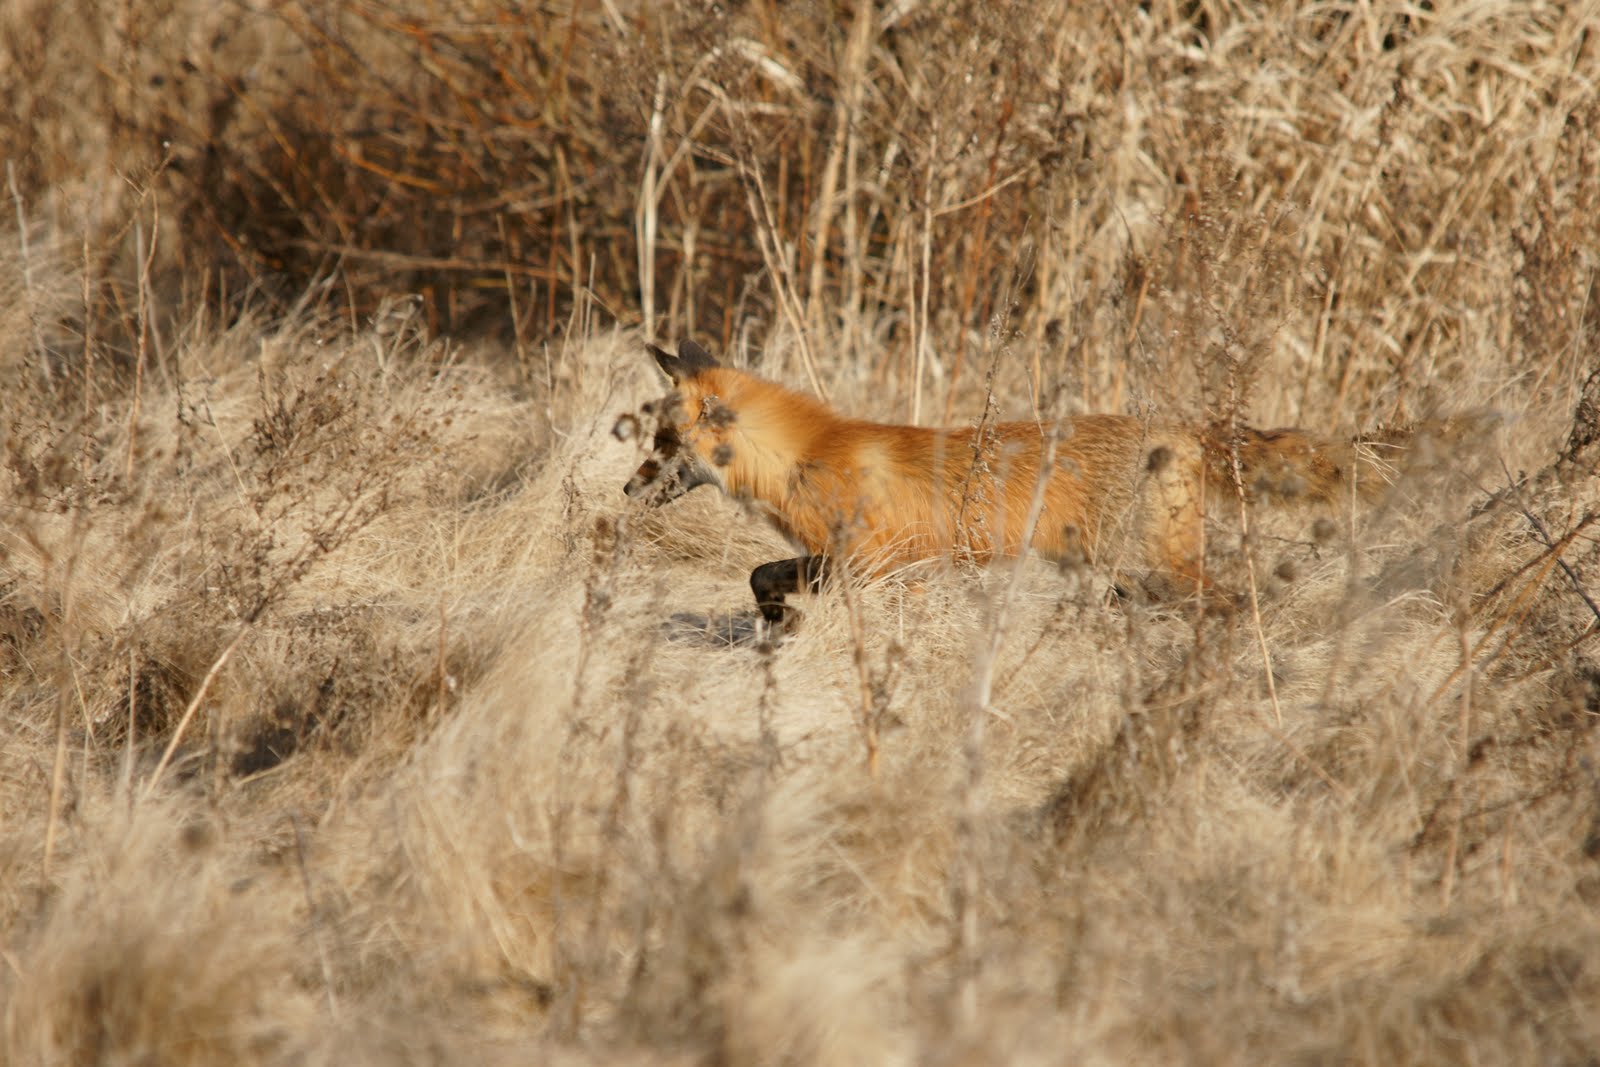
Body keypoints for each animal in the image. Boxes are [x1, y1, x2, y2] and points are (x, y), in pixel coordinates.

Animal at [622, 339, 1403, 630]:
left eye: (661, 443)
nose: (627, 493)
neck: (802, 458)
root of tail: (1183, 427)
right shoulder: (870, 564)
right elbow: (763, 575)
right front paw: (777, 626)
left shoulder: (875, 561)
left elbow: (766, 575)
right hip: (1128, 575)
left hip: (1158, 567)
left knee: (1240, 599)